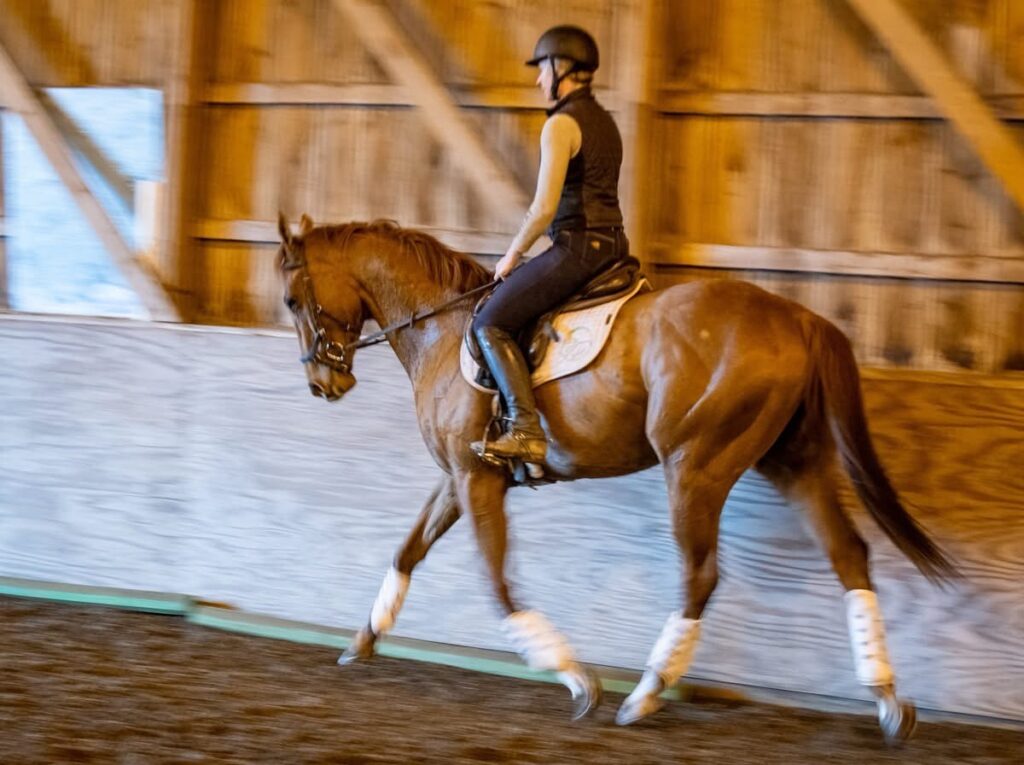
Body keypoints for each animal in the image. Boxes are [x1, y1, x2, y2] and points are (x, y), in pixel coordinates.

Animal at [275, 213, 956, 743]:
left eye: (290, 300)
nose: (321, 382)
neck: (441, 329)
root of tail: (795, 316)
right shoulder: (460, 474)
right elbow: (408, 550)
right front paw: (362, 641)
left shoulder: (476, 479)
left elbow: (497, 583)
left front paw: (575, 678)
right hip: (794, 462)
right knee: (848, 554)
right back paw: (887, 700)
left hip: (695, 465)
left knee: (700, 574)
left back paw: (646, 693)